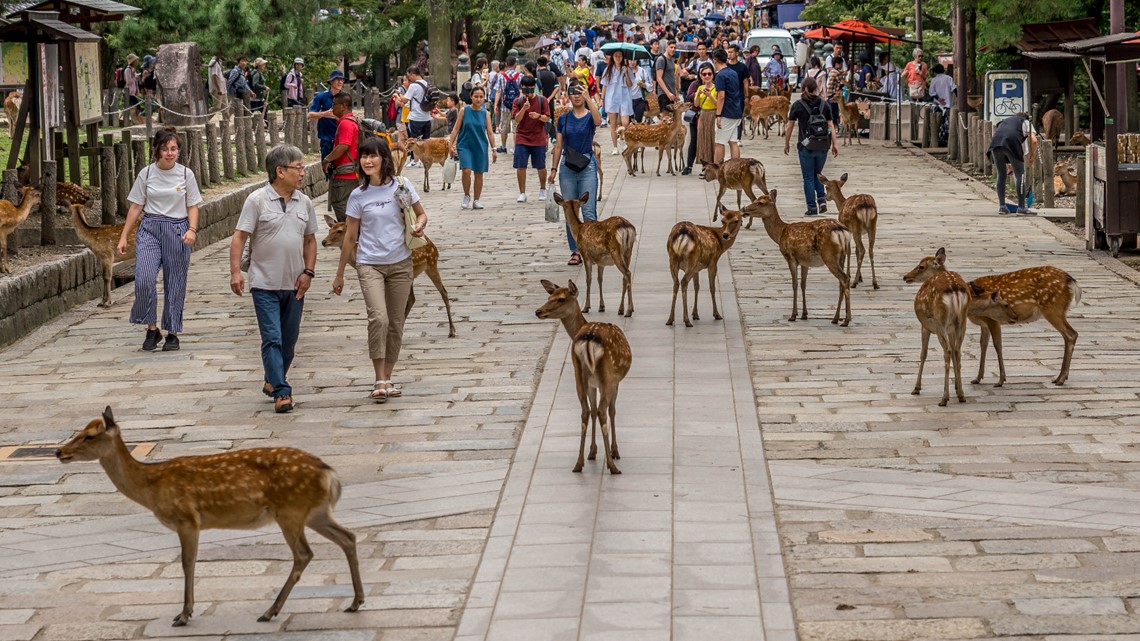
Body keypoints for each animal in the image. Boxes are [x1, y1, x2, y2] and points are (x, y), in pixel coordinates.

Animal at [55, 406, 365, 626]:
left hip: (291, 511)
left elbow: (187, 563)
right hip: (315, 512)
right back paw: (355, 602)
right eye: (79, 429)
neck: (151, 487)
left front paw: (183, 615)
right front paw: (184, 612)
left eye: (90, 436)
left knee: (304, 553)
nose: (59, 451)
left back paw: (270, 611)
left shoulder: (187, 519)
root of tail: (330, 474)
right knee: (348, 537)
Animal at [321, 215, 456, 337]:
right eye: (329, 230)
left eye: (339, 230)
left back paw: (451, 331)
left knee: (442, 292)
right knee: (413, 299)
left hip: (431, 265)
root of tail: (434, 246)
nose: (323, 241)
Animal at [537, 279, 631, 475]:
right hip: (606, 376)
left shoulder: (592, 384)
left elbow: (592, 411)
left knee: (586, 411)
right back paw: (612, 466)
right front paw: (614, 451)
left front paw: (592, 452)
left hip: (578, 373)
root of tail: (588, 339)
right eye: (549, 297)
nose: (538, 311)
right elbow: (612, 410)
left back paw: (578, 464)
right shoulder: (615, 382)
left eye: (560, 298)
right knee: (602, 411)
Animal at [744, 190, 853, 326]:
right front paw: (804, 314)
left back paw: (846, 320)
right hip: (842, 256)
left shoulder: (790, 257)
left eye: (760, 202)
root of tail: (841, 231)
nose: (744, 210)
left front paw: (793, 315)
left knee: (844, 279)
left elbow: (794, 284)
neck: (780, 233)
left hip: (829, 256)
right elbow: (803, 284)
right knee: (842, 282)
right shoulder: (805, 262)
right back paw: (836, 318)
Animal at [905, 252, 1081, 386]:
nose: (906, 276)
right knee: (1070, 335)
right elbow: (983, 345)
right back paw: (1060, 377)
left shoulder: (992, 320)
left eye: (921, 266)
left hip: (1053, 309)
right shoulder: (983, 323)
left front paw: (1001, 380)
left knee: (1071, 334)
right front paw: (977, 378)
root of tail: (1072, 282)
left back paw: (1060, 378)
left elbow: (997, 345)